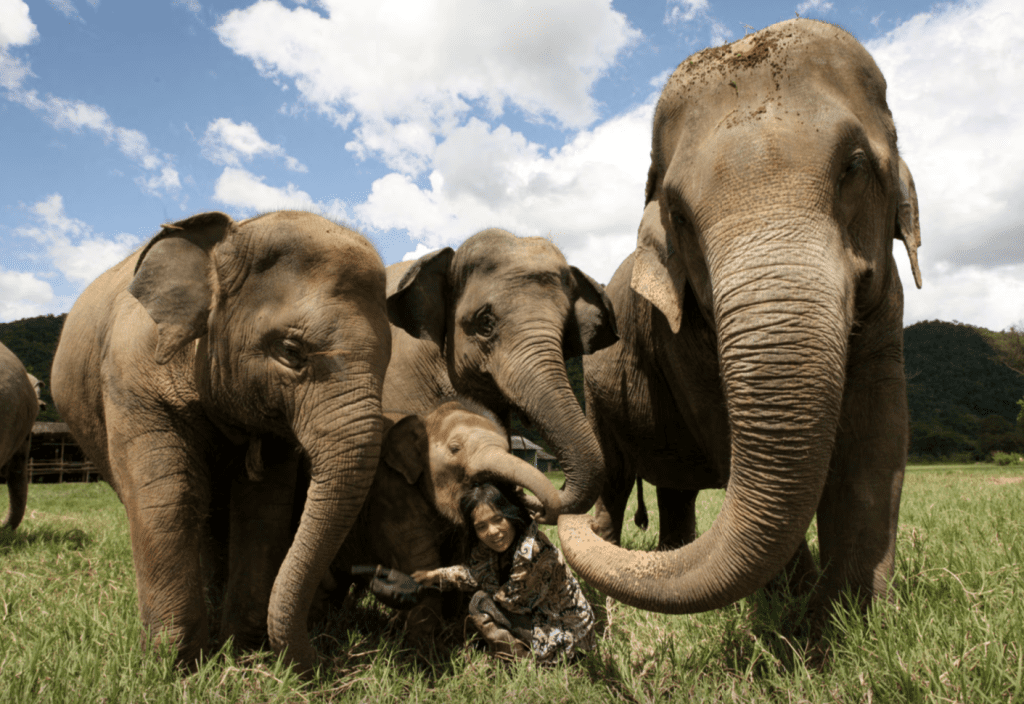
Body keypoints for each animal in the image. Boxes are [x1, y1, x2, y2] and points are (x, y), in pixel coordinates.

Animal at [50, 210, 393, 672]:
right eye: (291, 350)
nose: (330, 657)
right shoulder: (130, 379)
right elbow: (169, 496)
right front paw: (174, 666)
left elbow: (263, 508)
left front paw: (242, 648)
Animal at [314, 397, 559, 644]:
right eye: (454, 448)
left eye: (508, 450)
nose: (539, 512)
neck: (427, 418)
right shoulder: (389, 492)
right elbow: (422, 560)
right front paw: (418, 646)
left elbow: (464, 565)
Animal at [558, 19, 923, 623]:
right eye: (678, 213)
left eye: (853, 166)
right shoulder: (676, 336)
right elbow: (720, 425)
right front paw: (794, 611)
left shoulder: (887, 297)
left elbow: (879, 426)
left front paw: (847, 620)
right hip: (596, 393)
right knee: (613, 476)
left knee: (675, 491)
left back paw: (672, 550)